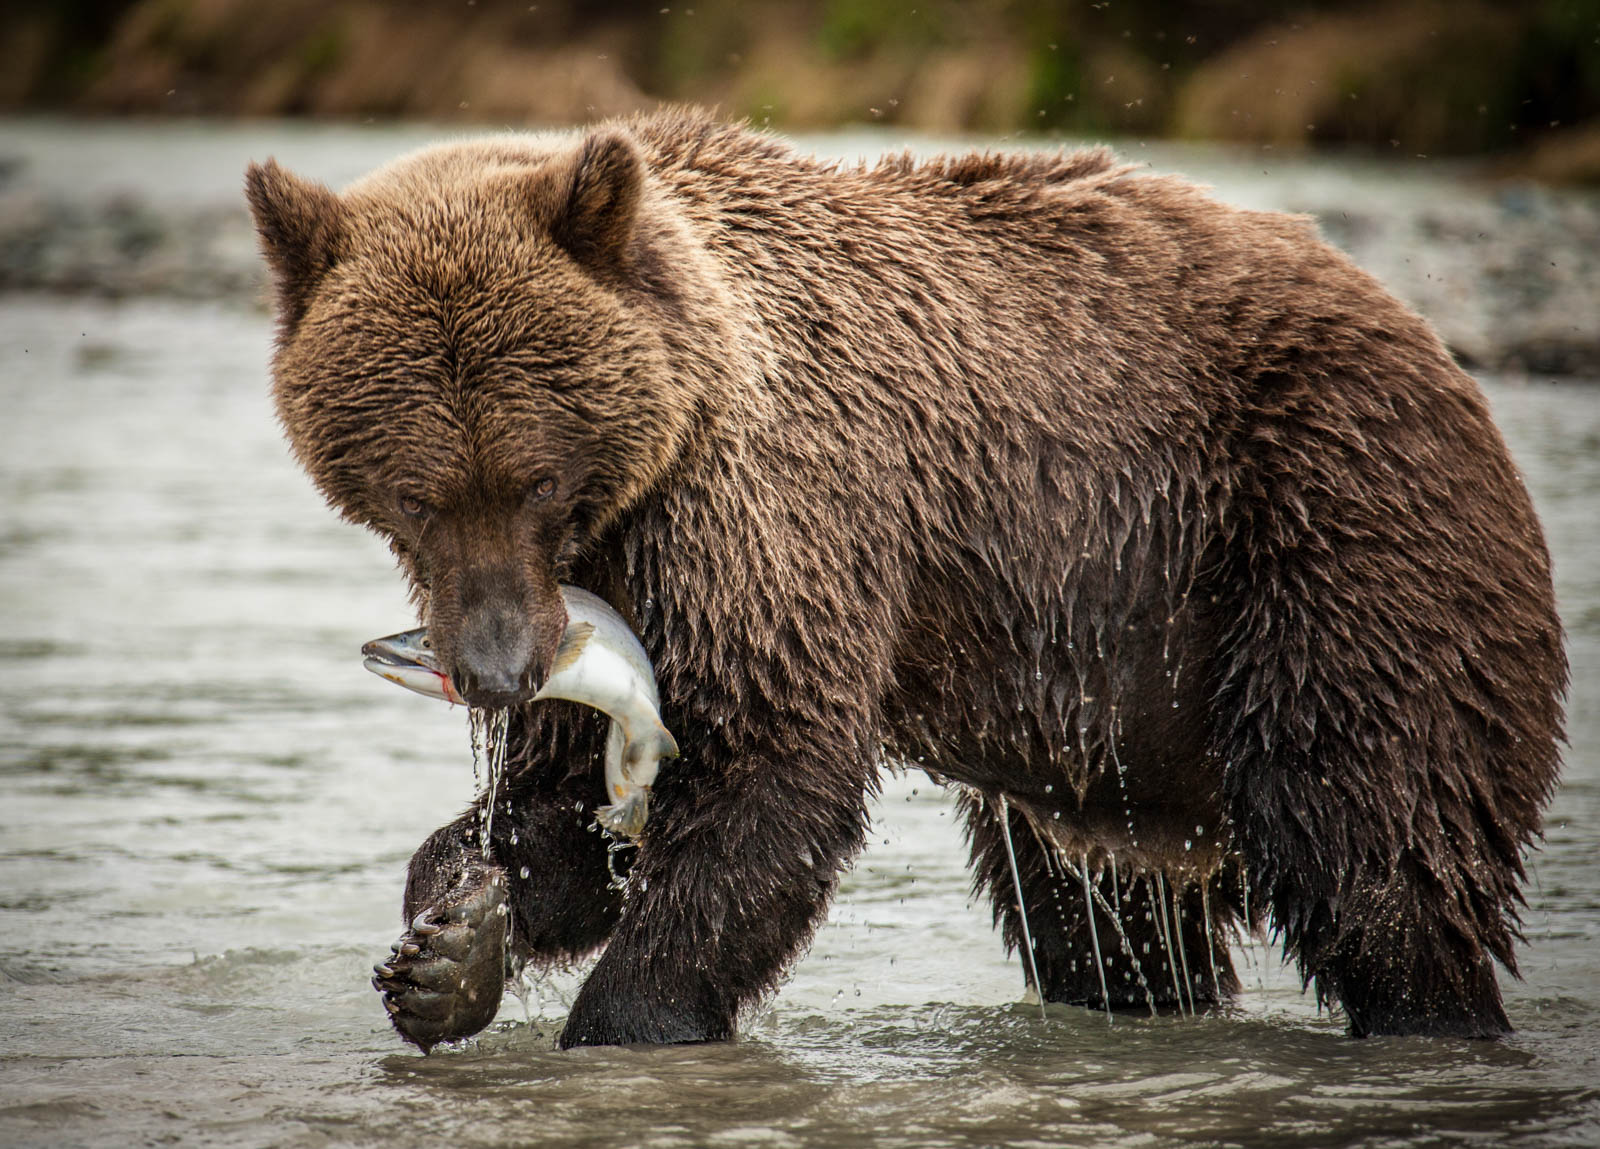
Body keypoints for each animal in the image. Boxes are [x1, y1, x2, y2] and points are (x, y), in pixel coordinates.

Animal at [245, 107, 1566, 1051]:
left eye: (532, 477)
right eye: (415, 491)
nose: (494, 671)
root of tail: (1438, 350)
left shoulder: (765, 519)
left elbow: (768, 773)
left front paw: (623, 1024)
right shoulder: (606, 594)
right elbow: (565, 815)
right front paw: (449, 941)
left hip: (1325, 534)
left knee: (1376, 842)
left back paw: (1432, 1022)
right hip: (1125, 717)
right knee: (1105, 920)